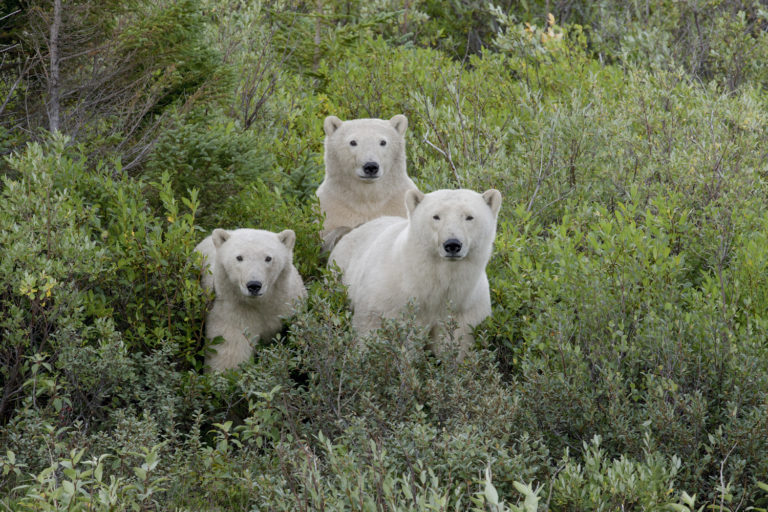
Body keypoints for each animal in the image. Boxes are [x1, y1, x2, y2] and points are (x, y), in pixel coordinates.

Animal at [195, 228, 306, 372]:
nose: (254, 285)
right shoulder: (232, 311)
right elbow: (231, 349)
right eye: (239, 257)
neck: (261, 303)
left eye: (268, 258)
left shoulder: (288, 304)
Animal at [316, 114, 418, 243]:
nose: (371, 166)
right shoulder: (329, 208)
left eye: (383, 142)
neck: (368, 198)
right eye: (353, 142)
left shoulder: (398, 203)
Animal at [329, 188, 502, 358]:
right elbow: (371, 328)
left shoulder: (467, 308)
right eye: (436, 216)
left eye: (469, 217)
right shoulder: (387, 299)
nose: (452, 244)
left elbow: (456, 343)